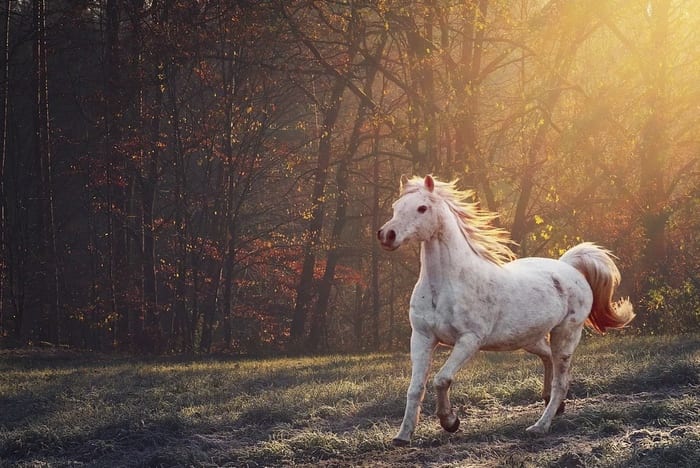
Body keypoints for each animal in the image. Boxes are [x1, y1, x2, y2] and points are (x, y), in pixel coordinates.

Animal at [377, 175, 634, 446]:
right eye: (396, 206)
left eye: (422, 208)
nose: (387, 235)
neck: (447, 283)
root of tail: (569, 267)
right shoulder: (422, 337)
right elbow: (415, 388)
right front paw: (403, 436)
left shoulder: (469, 340)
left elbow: (441, 379)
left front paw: (450, 422)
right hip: (529, 338)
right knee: (547, 358)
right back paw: (552, 405)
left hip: (565, 335)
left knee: (560, 382)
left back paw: (539, 426)